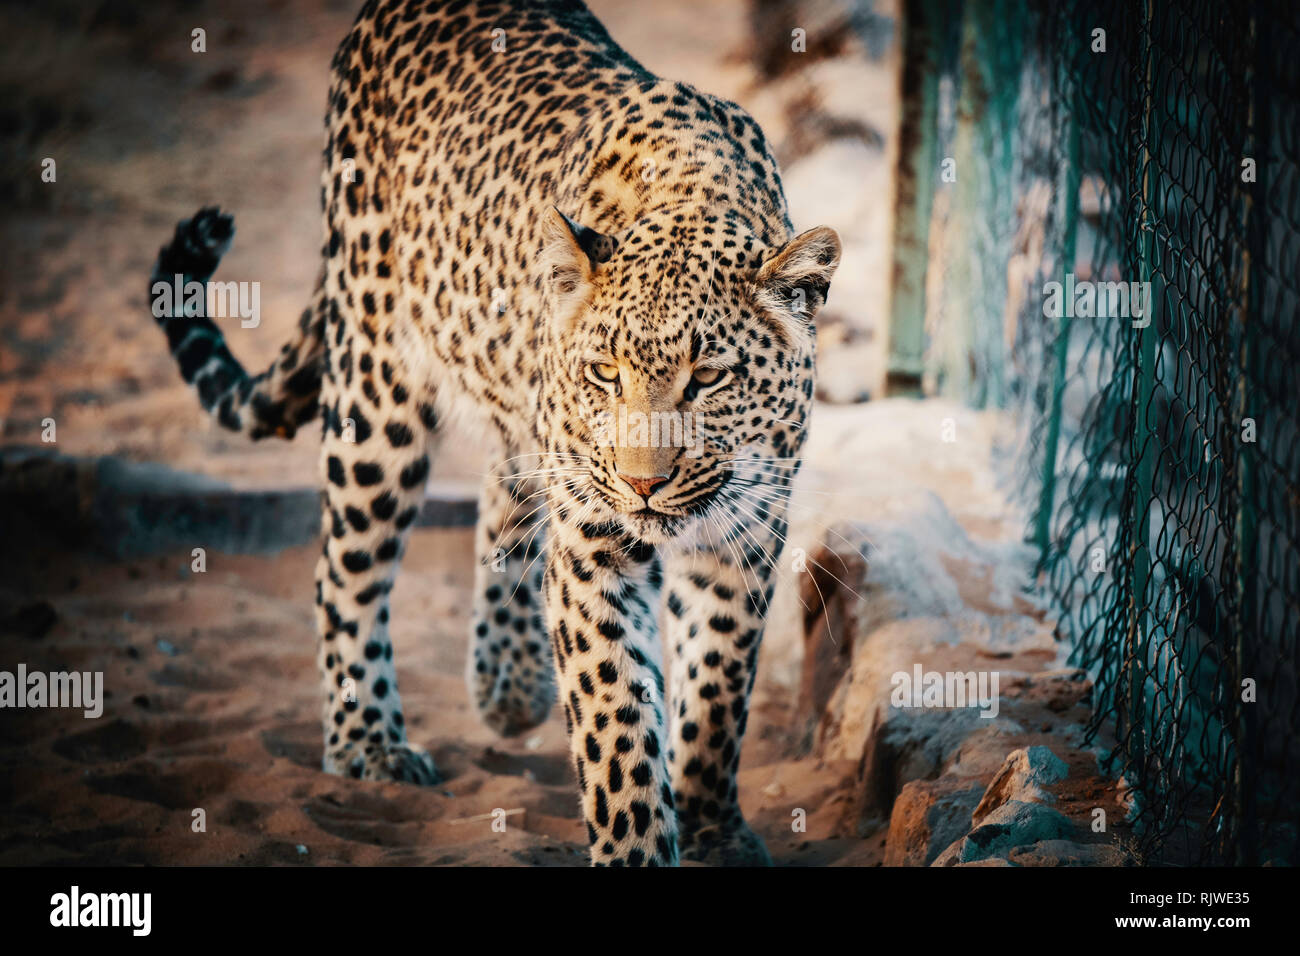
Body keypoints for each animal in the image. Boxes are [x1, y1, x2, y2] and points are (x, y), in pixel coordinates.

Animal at [146, 0, 840, 867]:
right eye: (605, 373)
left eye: (708, 378)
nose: (642, 484)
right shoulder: (594, 544)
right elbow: (616, 727)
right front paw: (638, 848)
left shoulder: (745, 533)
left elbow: (716, 695)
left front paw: (714, 830)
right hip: (376, 390)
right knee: (344, 572)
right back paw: (370, 740)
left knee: (504, 477)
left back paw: (506, 682)